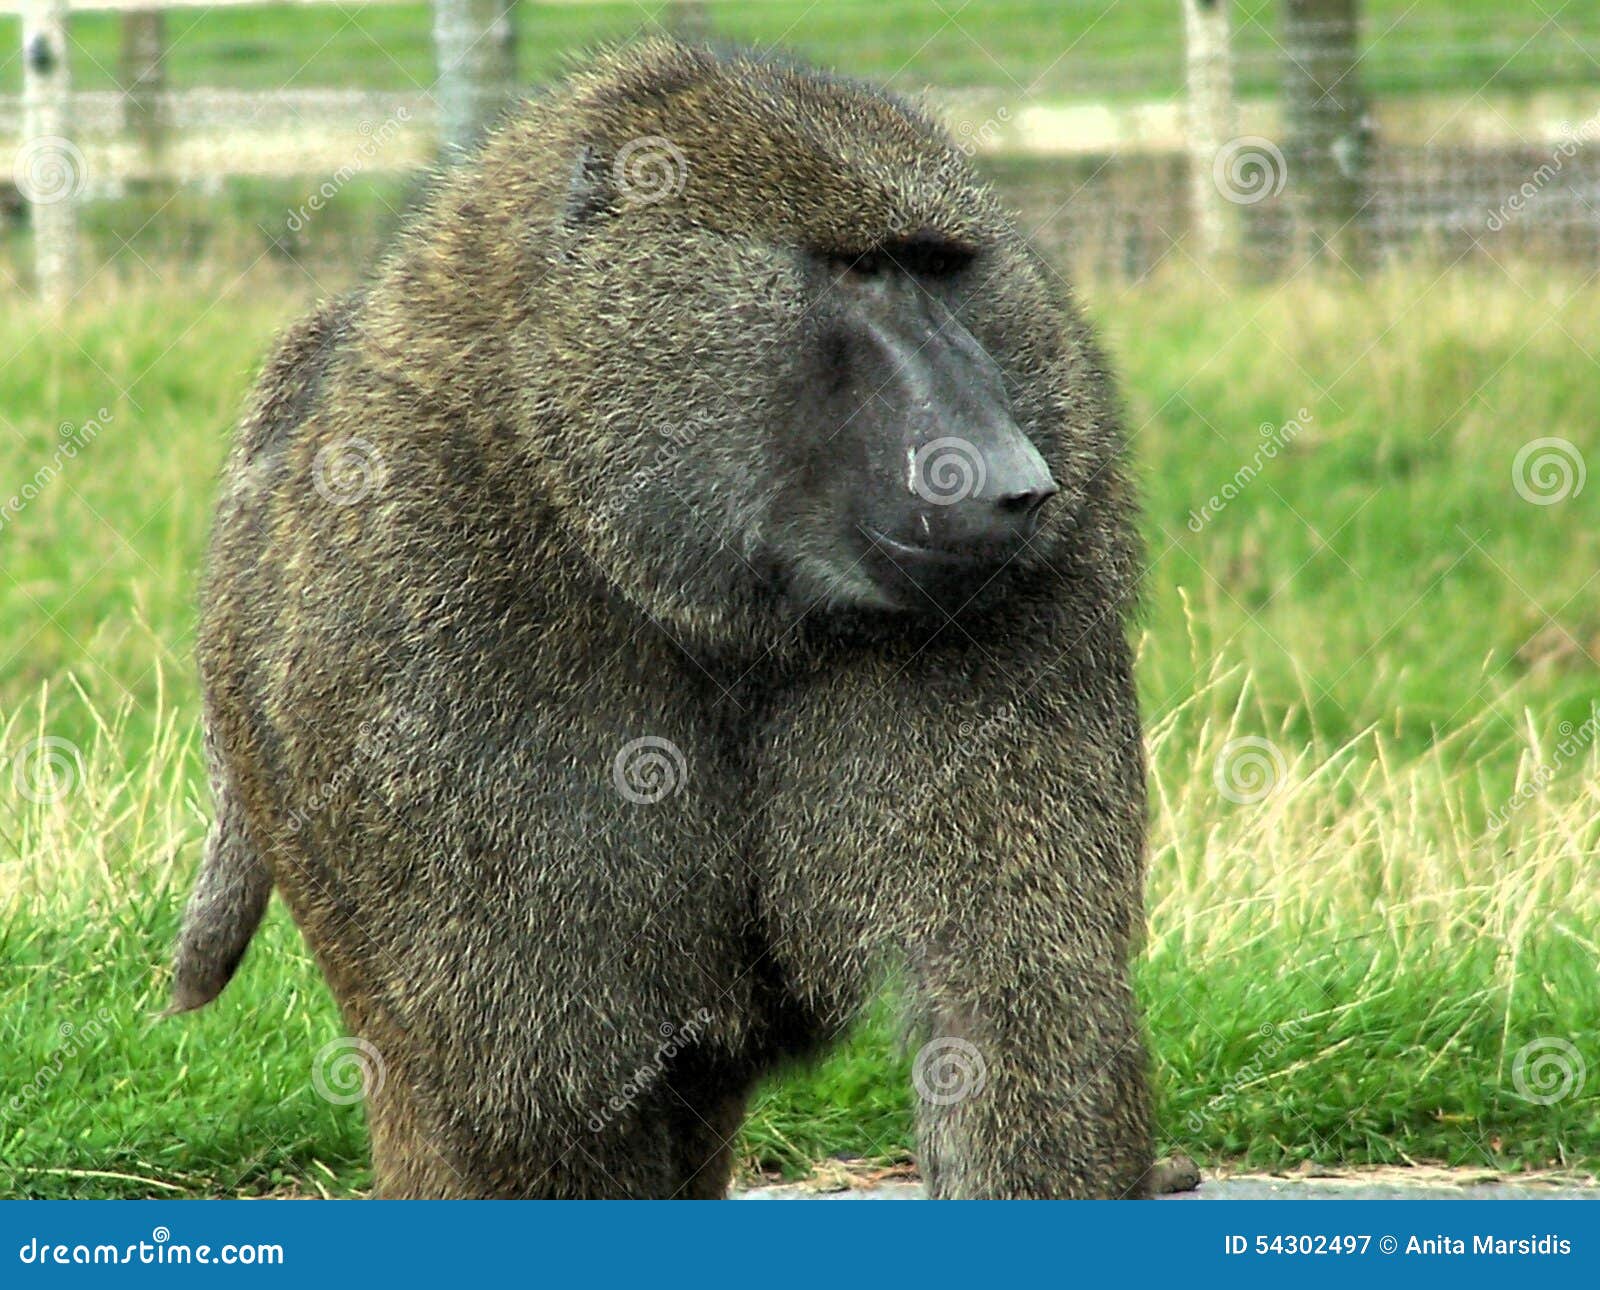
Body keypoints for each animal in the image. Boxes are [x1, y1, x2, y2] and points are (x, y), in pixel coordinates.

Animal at [171, 39, 1153, 1199]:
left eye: (938, 267)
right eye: (857, 273)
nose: (1015, 481)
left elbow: (1013, 1019)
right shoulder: (424, 609)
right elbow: (539, 1100)